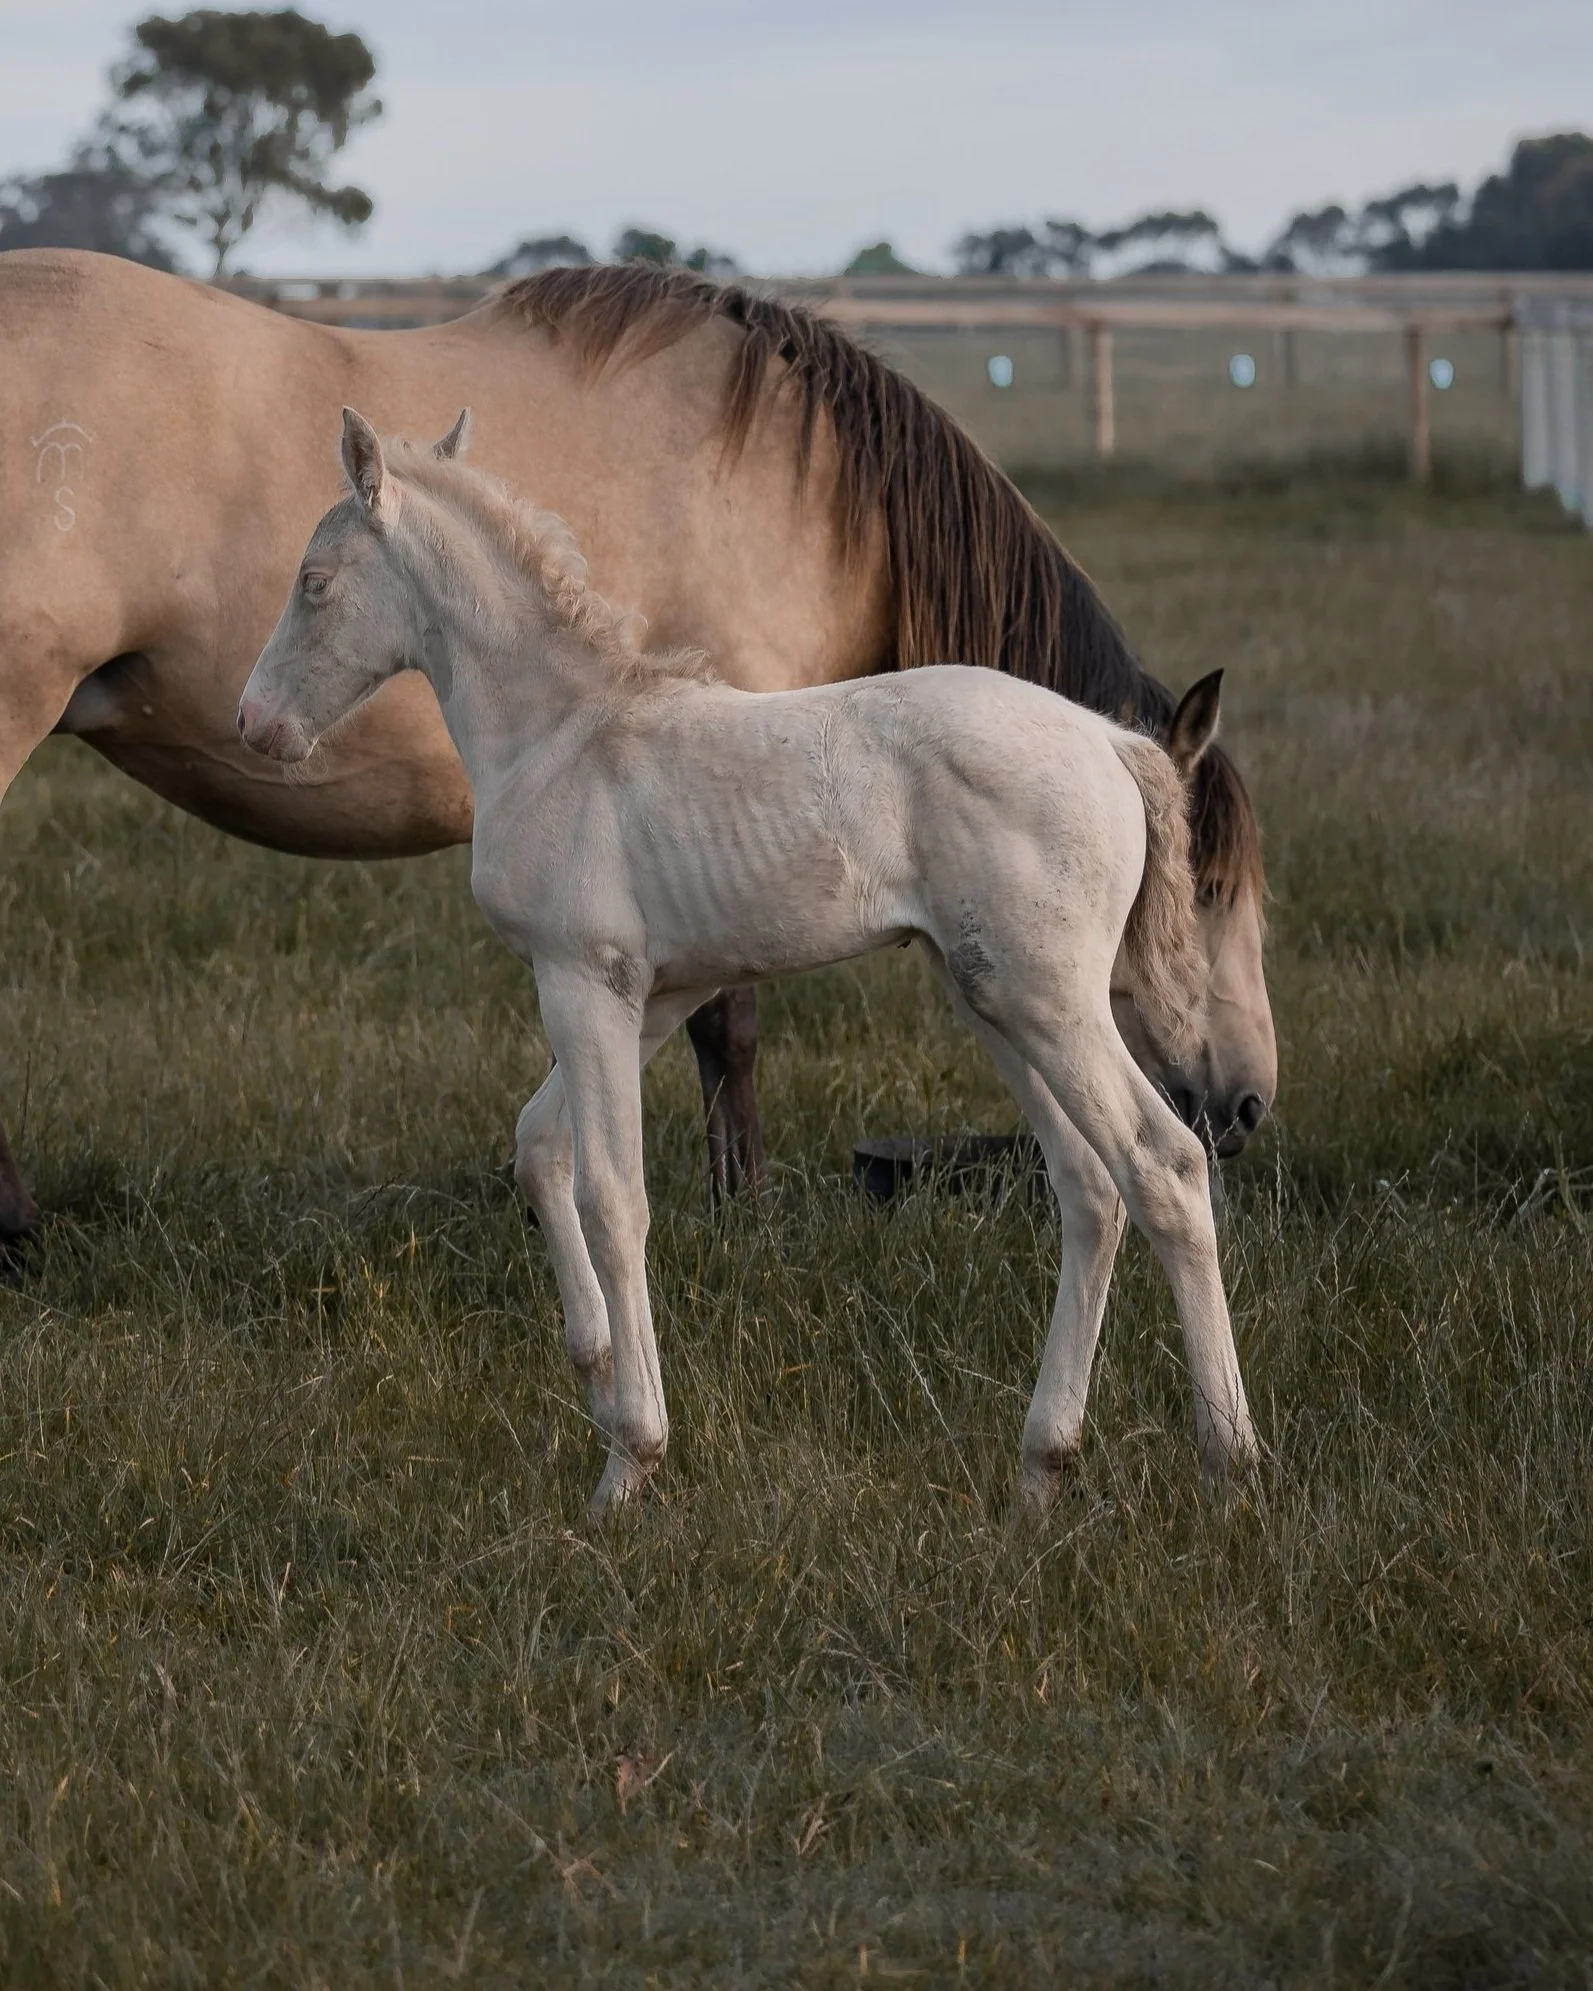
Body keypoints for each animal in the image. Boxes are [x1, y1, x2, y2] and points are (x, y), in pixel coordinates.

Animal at [236, 409, 1259, 1516]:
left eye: (313, 581)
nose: (254, 724)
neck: (563, 734)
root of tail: (1109, 741)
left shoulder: (582, 978)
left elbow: (612, 1195)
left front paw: (628, 1463)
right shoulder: (651, 992)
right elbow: (541, 1145)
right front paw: (595, 1367)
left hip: (1053, 1003)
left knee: (1163, 1165)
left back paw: (1230, 1455)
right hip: (993, 998)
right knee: (1087, 1186)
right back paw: (1041, 1467)